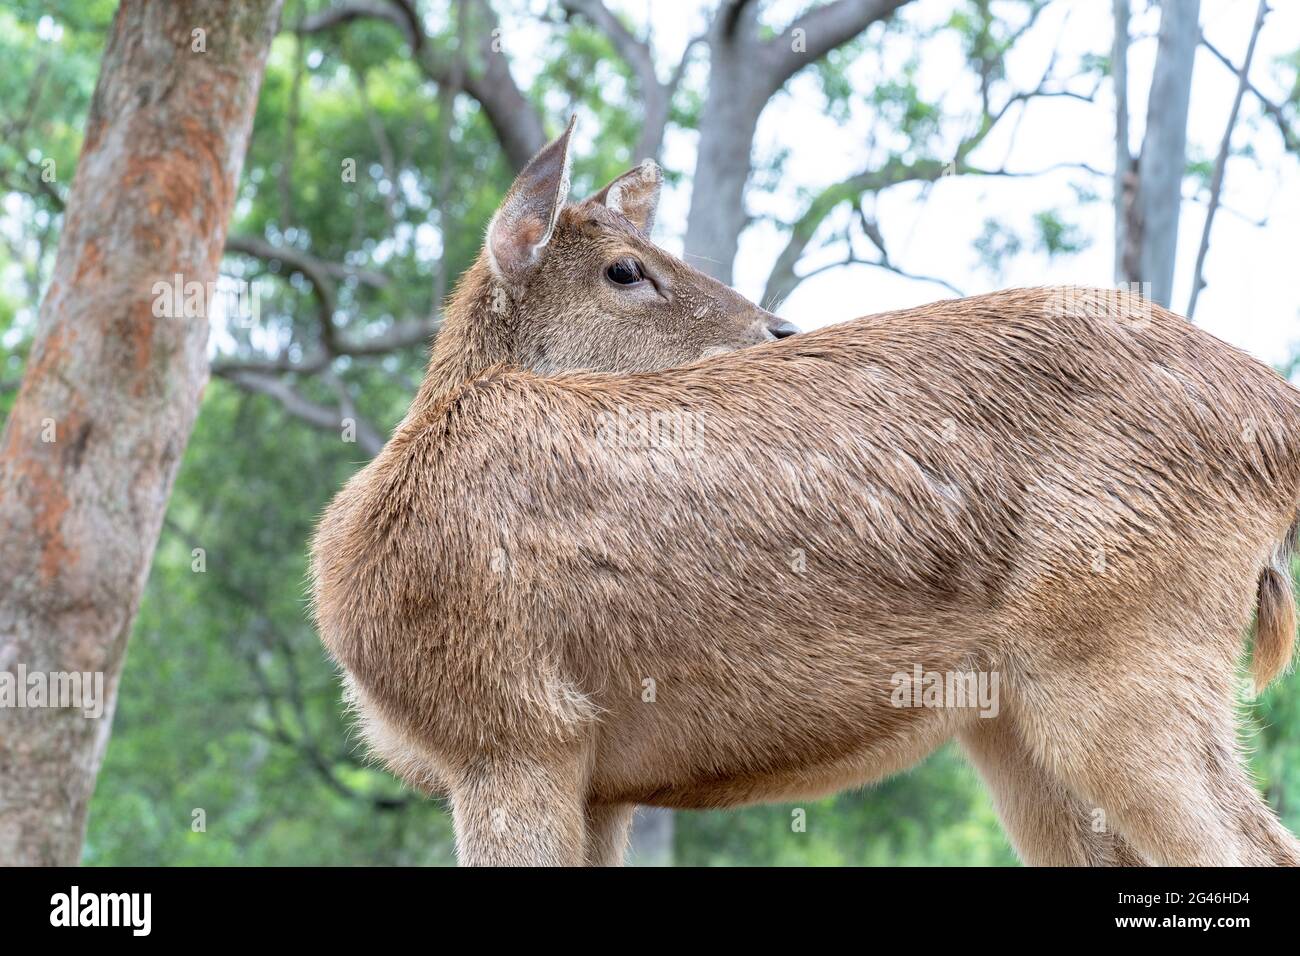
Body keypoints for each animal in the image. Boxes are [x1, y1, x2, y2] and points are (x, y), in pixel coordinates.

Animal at [310, 119, 1300, 867]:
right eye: (627, 268)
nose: (780, 328)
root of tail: (1277, 415)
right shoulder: (598, 777)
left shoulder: (511, 727)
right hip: (1021, 723)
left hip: (1126, 655)